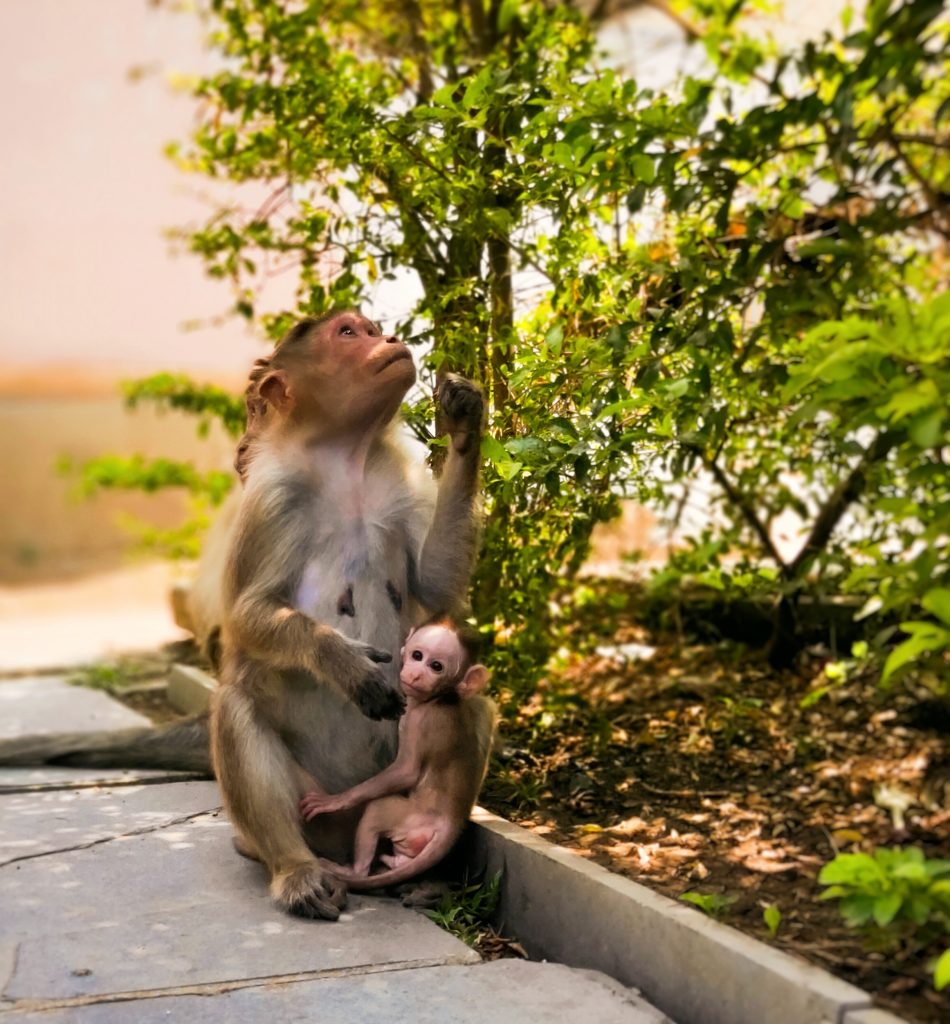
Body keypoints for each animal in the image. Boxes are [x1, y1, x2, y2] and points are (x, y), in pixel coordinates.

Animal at [299, 619, 495, 890]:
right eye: (417, 655)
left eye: (436, 666)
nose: (415, 673)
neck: (439, 698)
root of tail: (451, 825)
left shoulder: (419, 722)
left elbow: (407, 771)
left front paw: (337, 800)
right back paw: (395, 862)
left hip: (411, 822)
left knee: (378, 808)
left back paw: (355, 871)